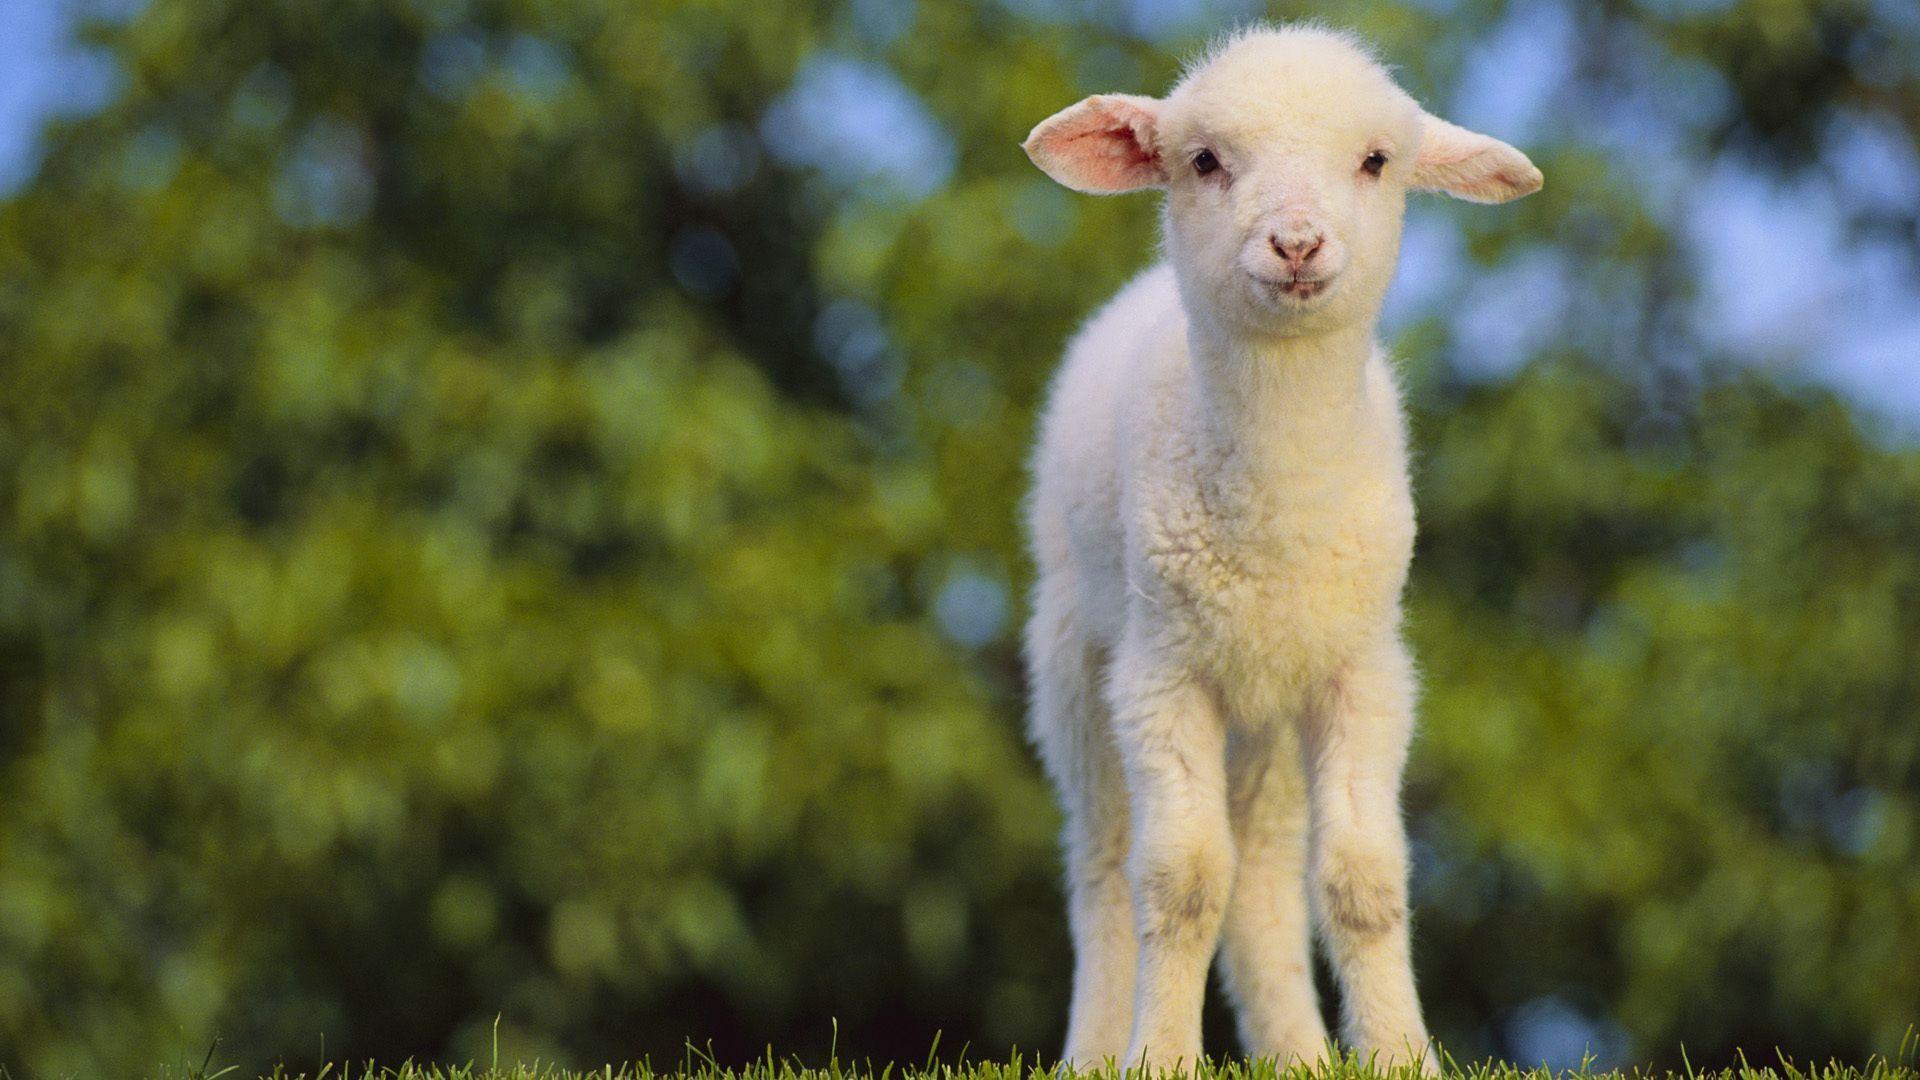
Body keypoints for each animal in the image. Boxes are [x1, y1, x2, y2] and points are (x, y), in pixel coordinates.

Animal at [1019, 24, 1542, 1075]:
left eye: (1376, 161)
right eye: (1203, 161)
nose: (1297, 242)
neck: (1278, 518)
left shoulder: (1364, 671)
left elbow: (1363, 878)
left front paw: (1403, 1056)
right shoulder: (1161, 674)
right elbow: (1178, 879)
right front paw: (1161, 1057)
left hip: (1268, 715)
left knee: (1262, 877)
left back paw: (1297, 1051)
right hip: (1073, 663)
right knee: (1102, 865)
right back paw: (1095, 1049)